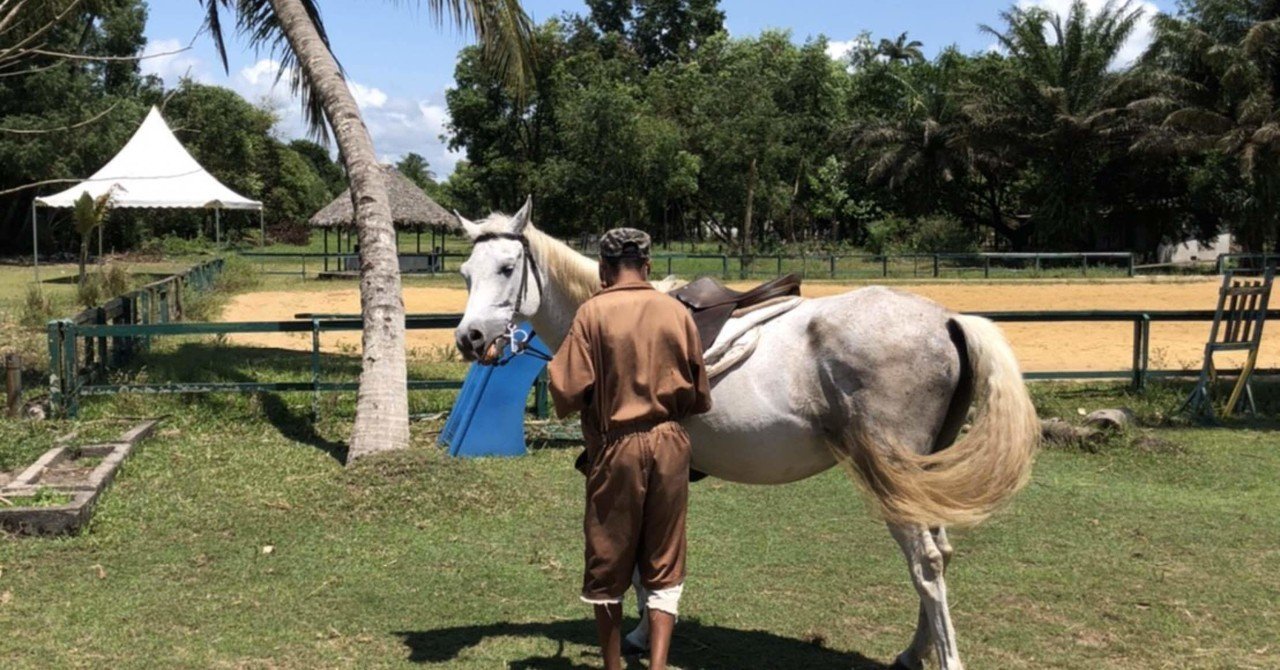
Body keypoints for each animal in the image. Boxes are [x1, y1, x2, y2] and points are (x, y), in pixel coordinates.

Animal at [450, 201, 1039, 670]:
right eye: (465, 272)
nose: (469, 338)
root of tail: (947, 320)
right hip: (921, 477)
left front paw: (637, 633)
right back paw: (915, 652)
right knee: (940, 553)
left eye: (507, 267)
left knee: (927, 562)